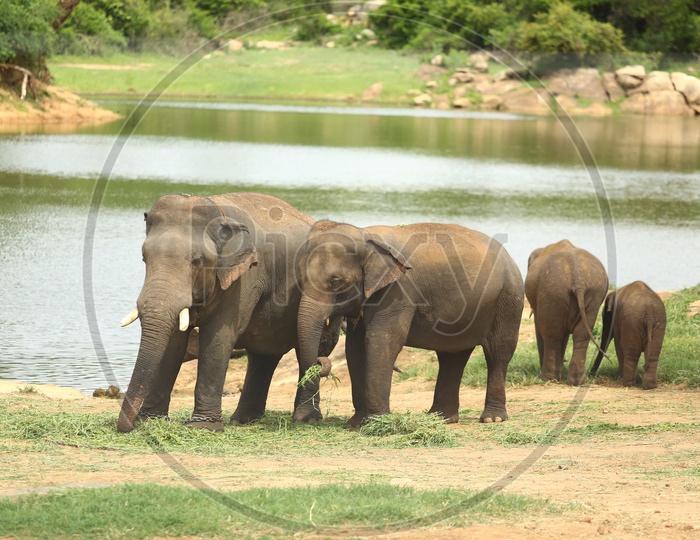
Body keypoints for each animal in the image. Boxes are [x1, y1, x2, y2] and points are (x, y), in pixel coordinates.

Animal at [117, 193, 341, 433]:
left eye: (197, 260)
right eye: (144, 257)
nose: (129, 427)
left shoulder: (245, 277)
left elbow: (218, 337)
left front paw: (202, 427)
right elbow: (174, 341)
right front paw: (150, 421)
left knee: (307, 350)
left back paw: (305, 419)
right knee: (263, 355)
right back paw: (244, 420)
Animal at [295, 220, 524, 428]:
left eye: (336, 282)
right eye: (300, 280)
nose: (320, 361)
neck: (364, 234)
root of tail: (511, 258)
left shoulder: (399, 291)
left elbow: (382, 340)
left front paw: (379, 423)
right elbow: (355, 348)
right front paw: (356, 423)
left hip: (508, 300)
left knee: (497, 354)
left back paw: (492, 418)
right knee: (452, 357)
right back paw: (440, 418)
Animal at [524, 239, 608, 385]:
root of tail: (578, 278)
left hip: (552, 292)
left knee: (552, 335)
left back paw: (548, 378)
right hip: (593, 294)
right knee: (581, 335)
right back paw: (577, 381)